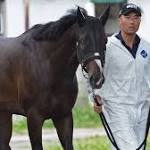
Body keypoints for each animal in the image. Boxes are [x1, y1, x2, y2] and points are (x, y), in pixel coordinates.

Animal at [0, 6, 109, 149]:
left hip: (5, 113)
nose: (97, 78)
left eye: (105, 41)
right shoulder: (34, 118)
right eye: (83, 40)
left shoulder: (64, 116)